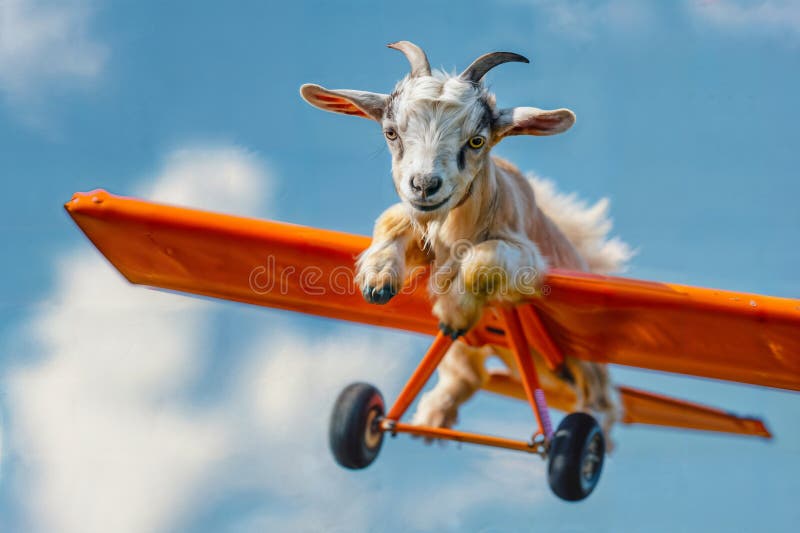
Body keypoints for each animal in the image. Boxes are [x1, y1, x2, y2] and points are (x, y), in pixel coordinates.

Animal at [301, 41, 632, 444]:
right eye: (391, 133)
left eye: (477, 141)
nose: (425, 185)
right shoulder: (423, 231)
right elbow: (393, 220)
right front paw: (378, 281)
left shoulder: (526, 258)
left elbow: (482, 261)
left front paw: (454, 310)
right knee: (467, 375)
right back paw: (429, 418)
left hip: (589, 367)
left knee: (603, 405)